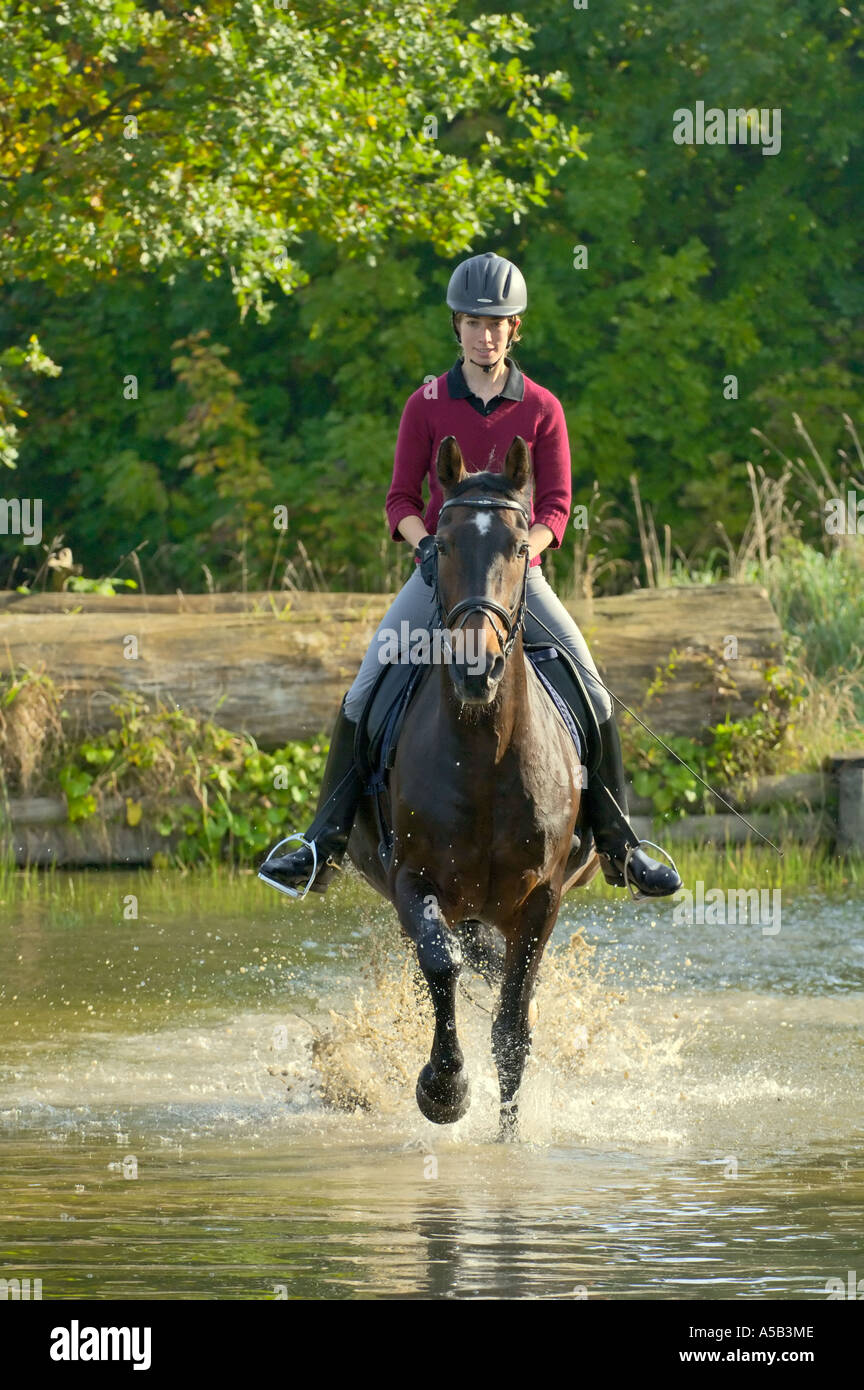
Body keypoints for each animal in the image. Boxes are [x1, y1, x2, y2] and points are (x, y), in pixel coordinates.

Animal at [347, 435, 598, 1139]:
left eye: (518, 548)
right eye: (444, 544)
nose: (474, 668)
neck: (485, 758)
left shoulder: (541, 901)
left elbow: (513, 1029)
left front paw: (507, 1138)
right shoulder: (413, 882)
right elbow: (441, 965)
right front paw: (444, 1089)